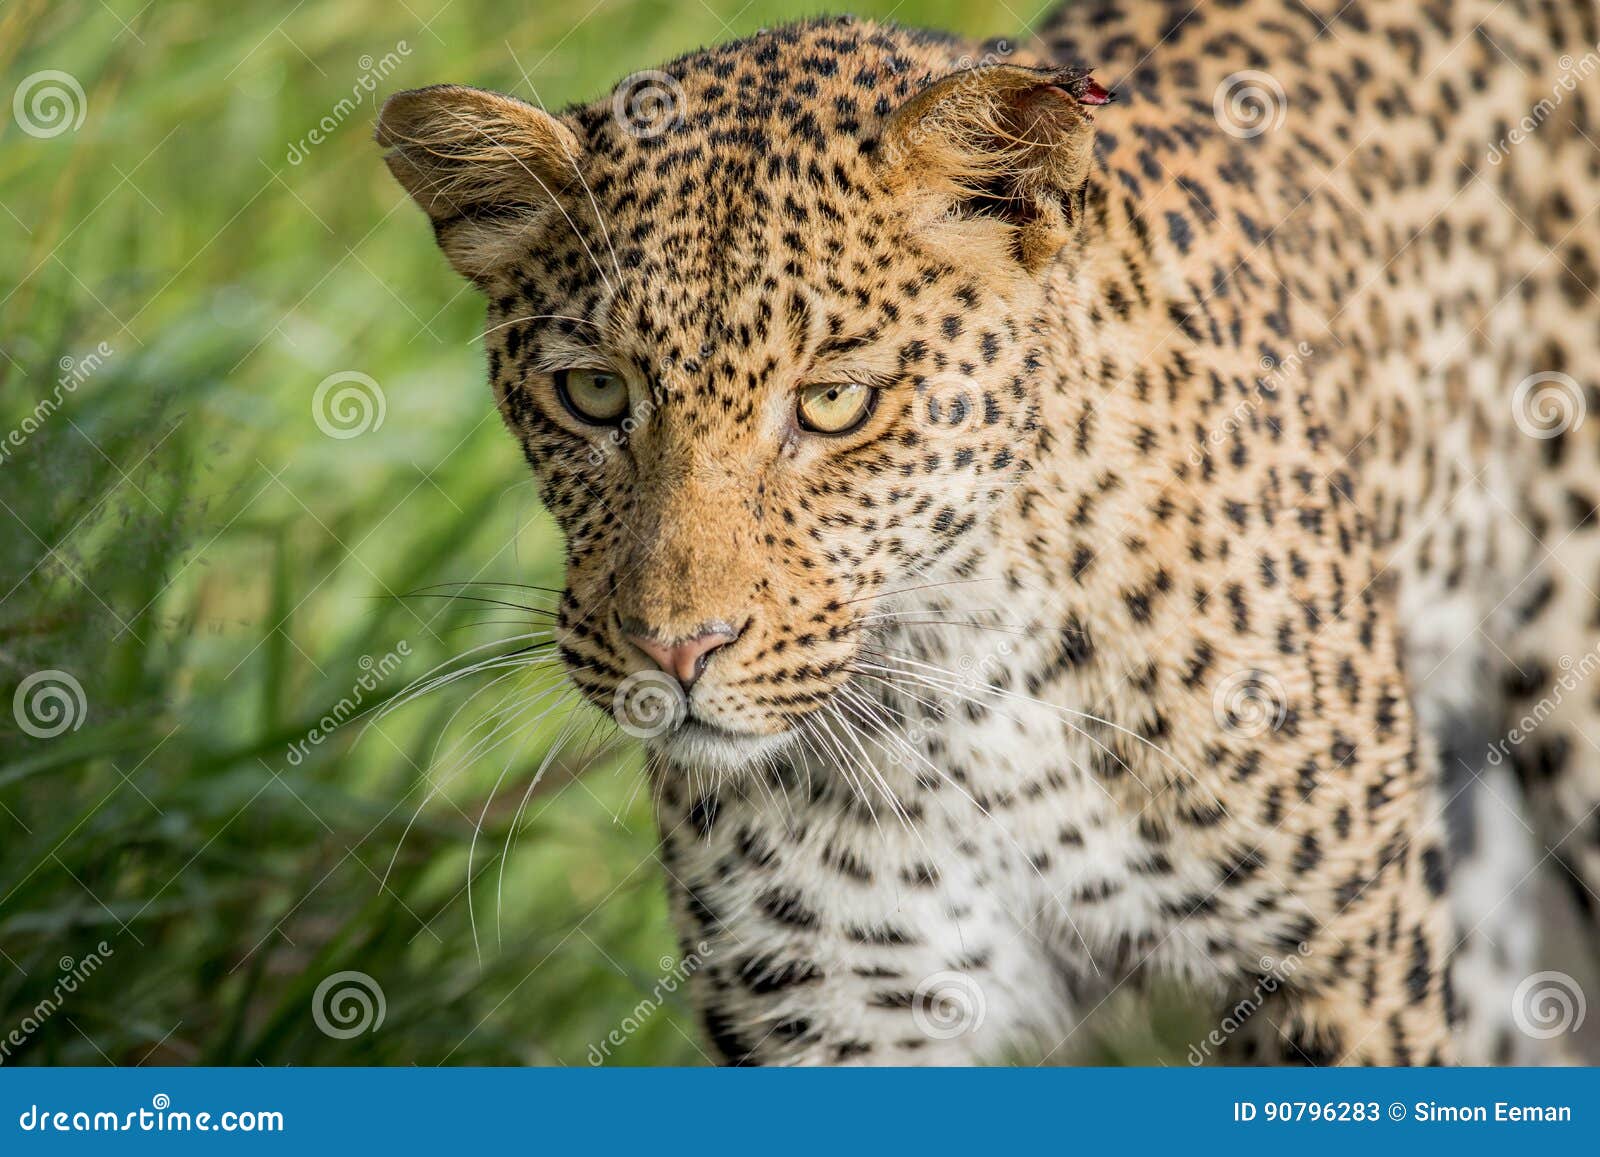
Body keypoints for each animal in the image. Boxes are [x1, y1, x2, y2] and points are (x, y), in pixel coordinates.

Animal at [376, 0, 1600, 1065]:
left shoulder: (1341, 969)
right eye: (591, 393)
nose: (676, 650)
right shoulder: (842, 1007)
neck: (966, 682)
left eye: (833, 402)